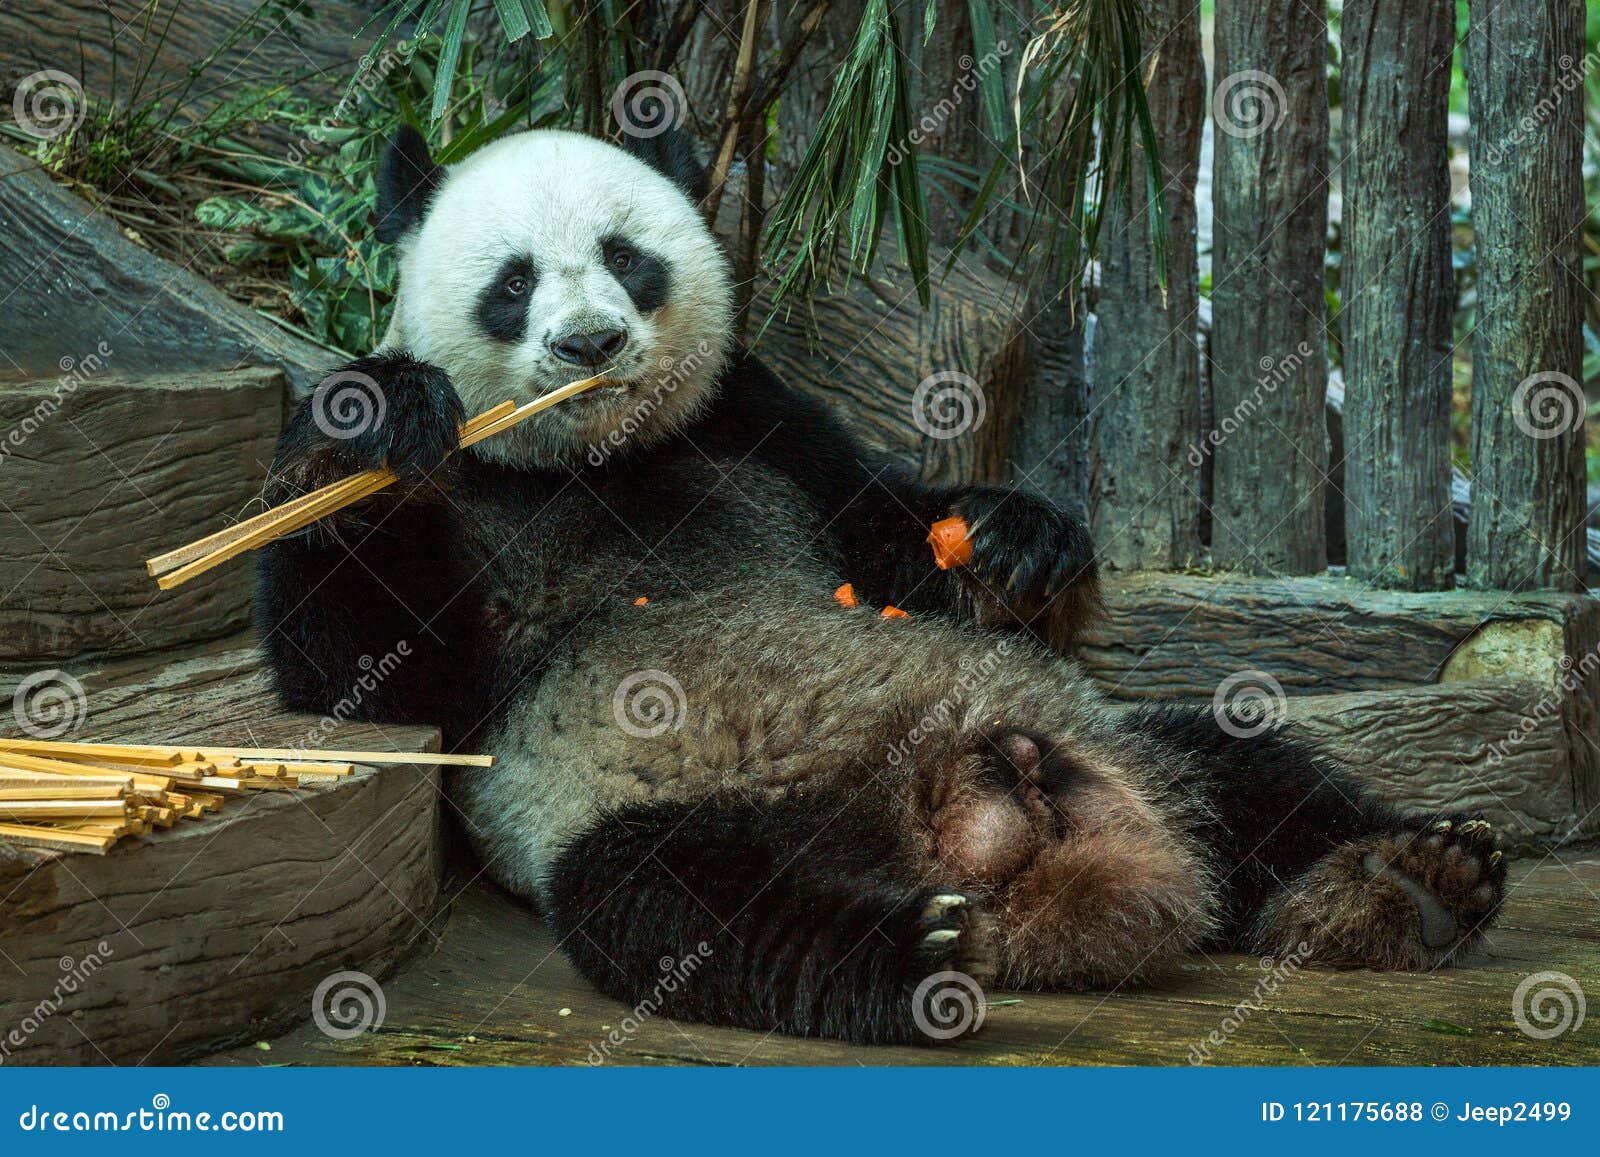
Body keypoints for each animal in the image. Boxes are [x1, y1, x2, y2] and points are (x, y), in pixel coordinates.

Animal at [257, 123, 1507, 1046]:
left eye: (626, 258)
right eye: (513, 282)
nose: (590, 345)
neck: (600, 462)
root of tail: (988, 837)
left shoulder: (759, 424)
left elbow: (890, 525)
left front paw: (1017, 540)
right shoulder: (484, 513)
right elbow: (378, 679)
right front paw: (364, 430)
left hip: (1111, 739)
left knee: (1248, 768)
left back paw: (1410, 879)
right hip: (683, 816)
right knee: (683, 905)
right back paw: (917, 959)